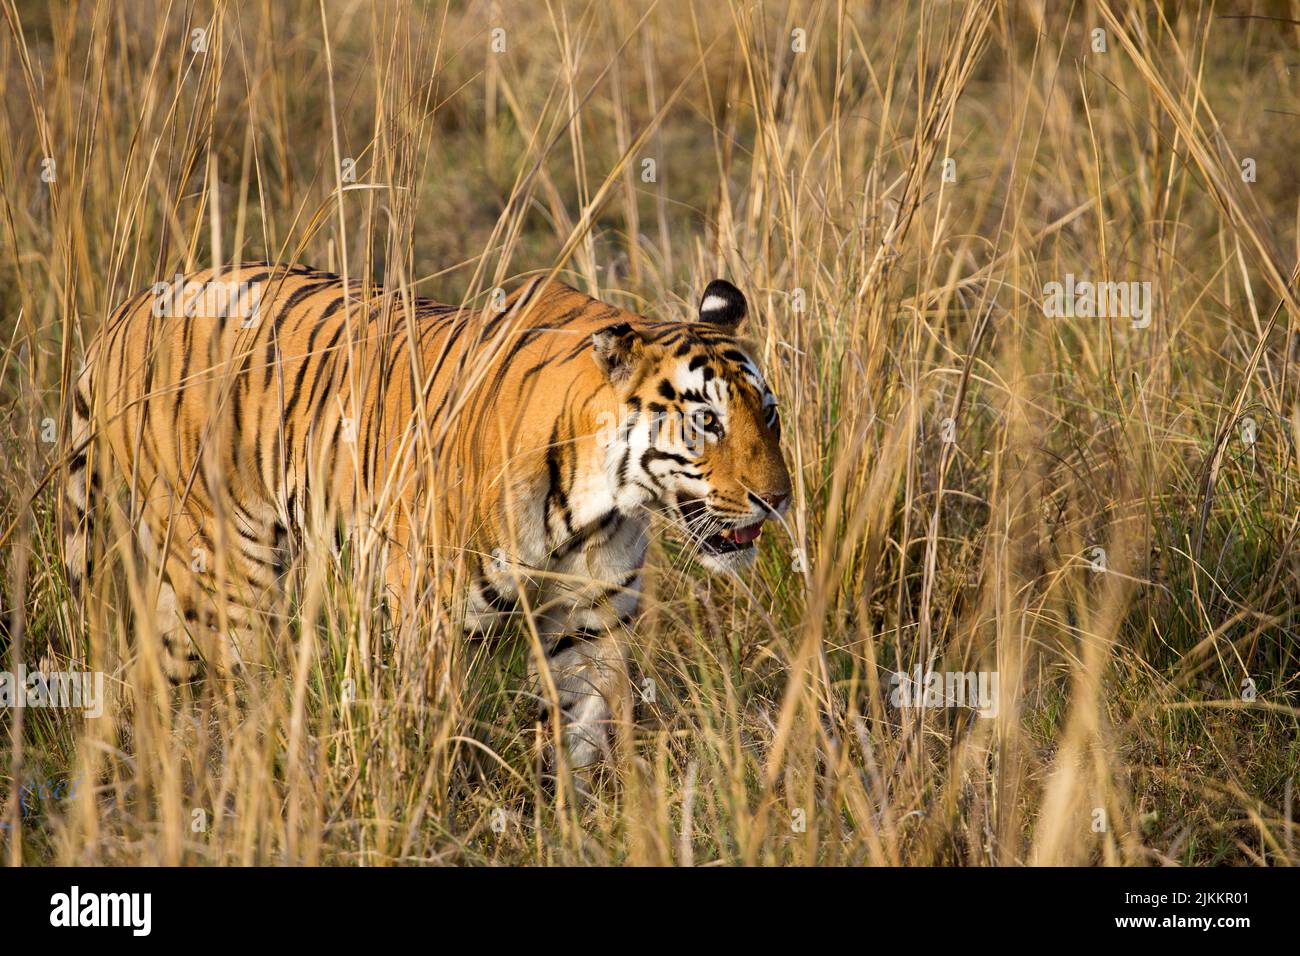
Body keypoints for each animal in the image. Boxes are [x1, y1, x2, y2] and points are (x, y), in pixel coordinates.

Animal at [63, 262, 792, 766]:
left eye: (770, 414)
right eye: (706, 422)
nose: (777, 499)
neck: (597, 505)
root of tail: (124, 312)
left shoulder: (591, 626)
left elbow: (586, 737)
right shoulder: (428, 619)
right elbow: (430, 737)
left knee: (156, 676)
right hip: (227, 570)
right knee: (236, 686)